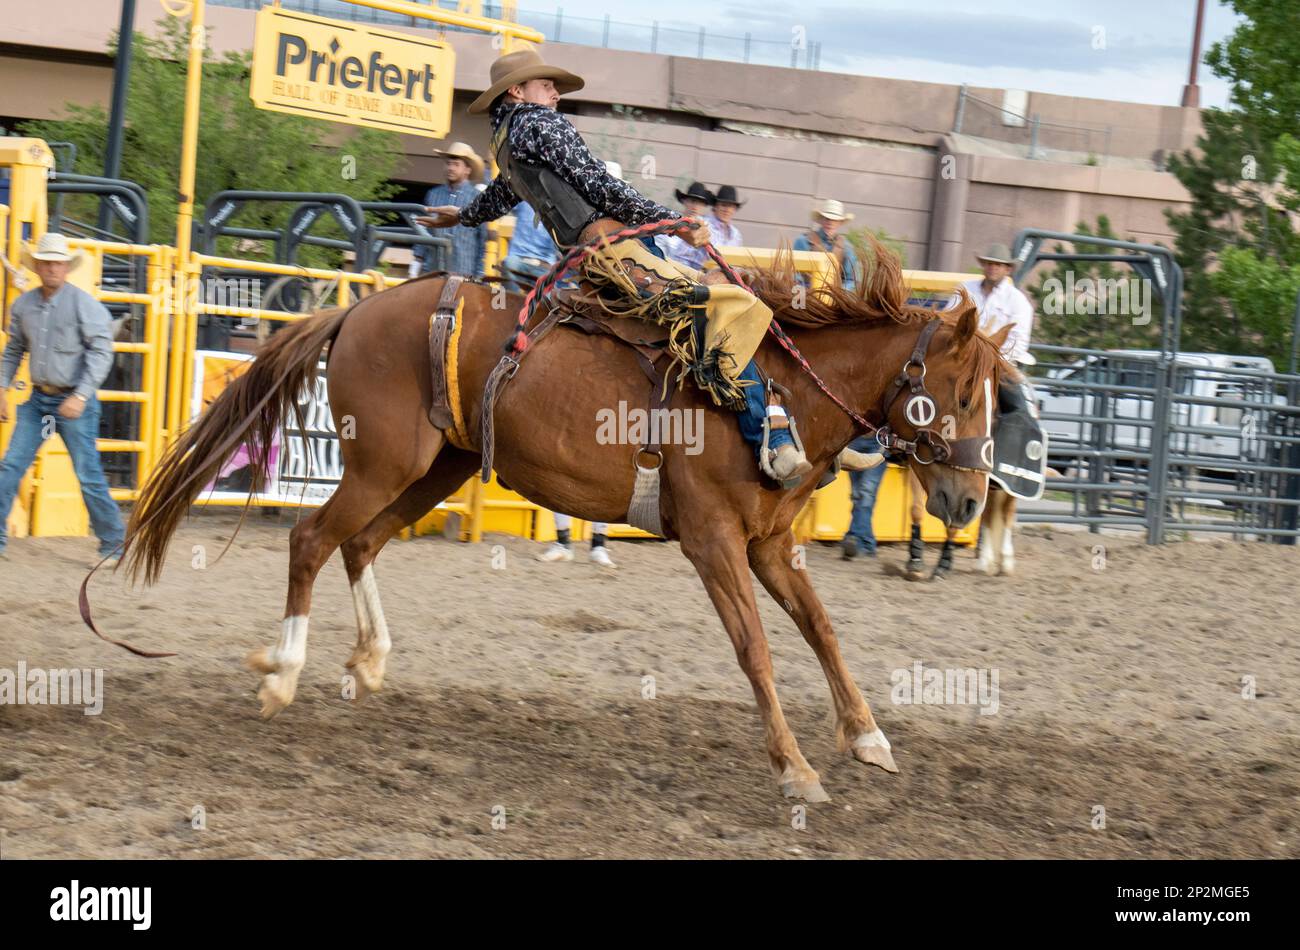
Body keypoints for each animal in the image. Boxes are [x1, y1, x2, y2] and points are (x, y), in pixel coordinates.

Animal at [118, 240, 1011, 803]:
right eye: (963, 392)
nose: (970, 501)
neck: (771, 392)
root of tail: (360, 311)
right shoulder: (715, 541)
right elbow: (755, 649)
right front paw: (794, 769)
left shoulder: (770, 544)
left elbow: (822, 628)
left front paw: (868, 738)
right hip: (382, 463)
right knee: (312, 538)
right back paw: (282, 673)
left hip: (435, 467)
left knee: (361, 542)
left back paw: (368, 661)